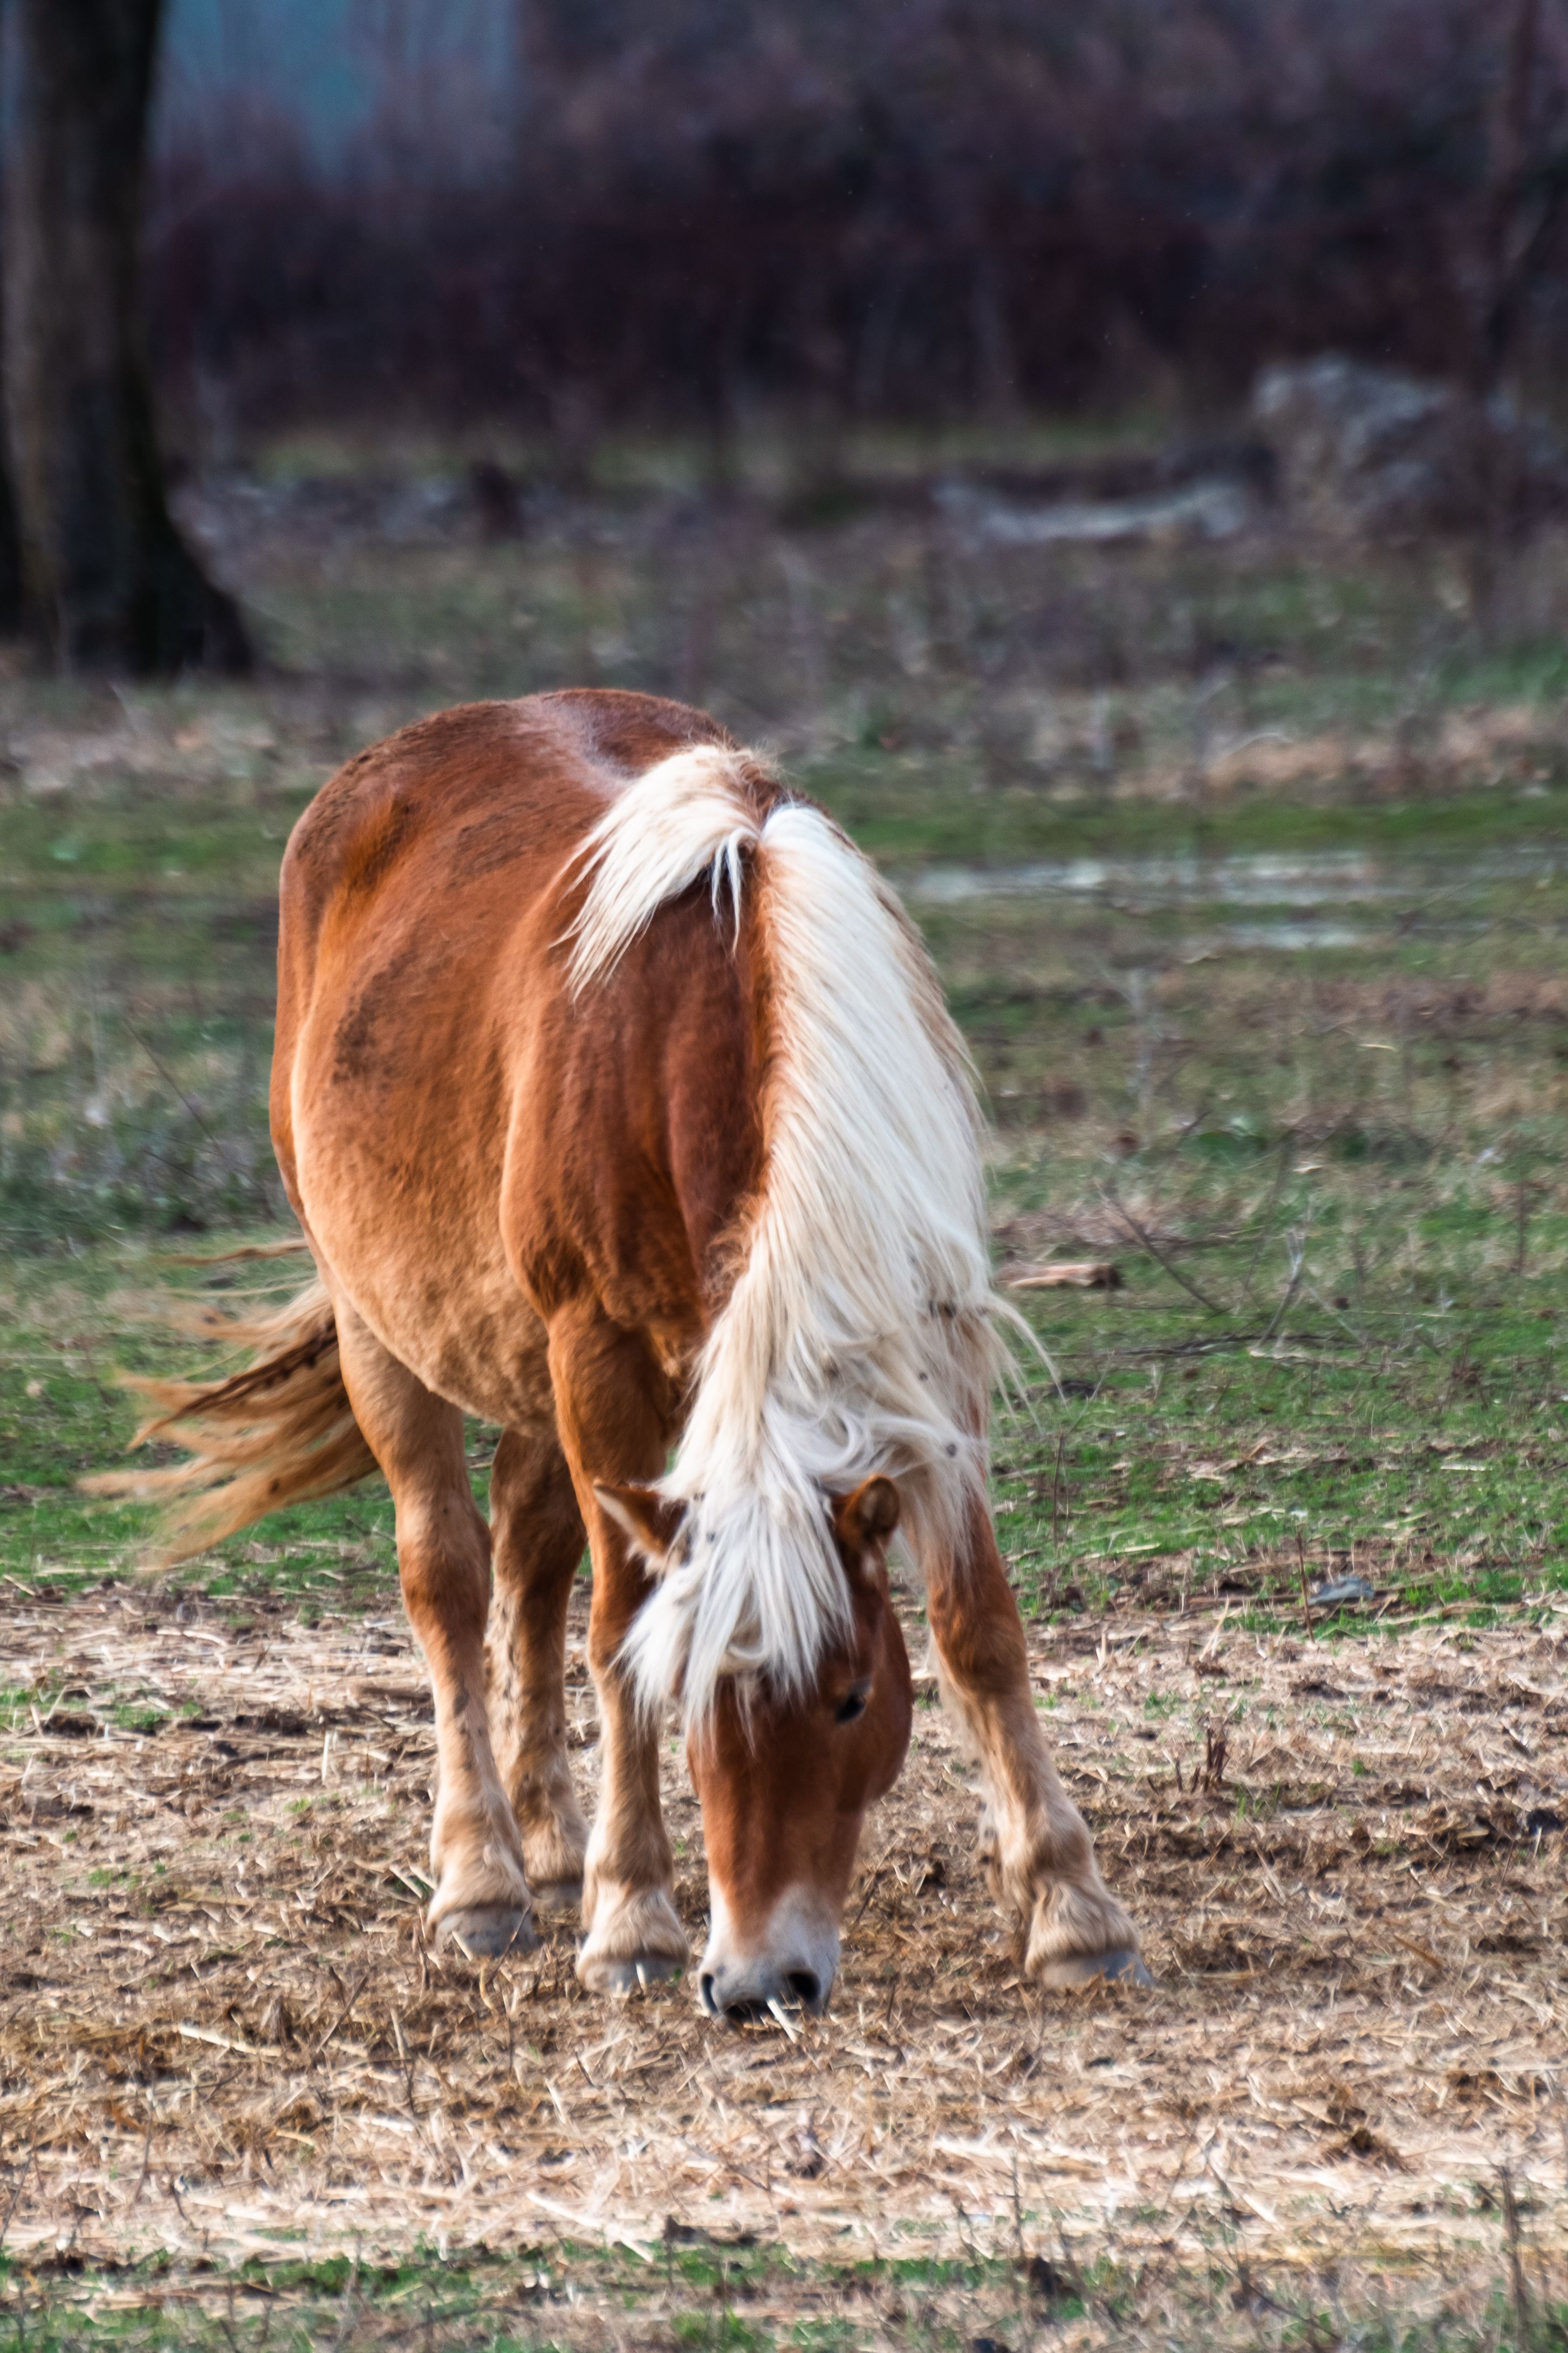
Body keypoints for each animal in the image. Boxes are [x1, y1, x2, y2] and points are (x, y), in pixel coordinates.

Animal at [105, 689, 1146, 2018]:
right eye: (697, 1698)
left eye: (854, 1696)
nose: (758, 1979)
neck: (734, 1010)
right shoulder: (596, 1353)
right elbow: (619, 1631)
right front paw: (633, 1919)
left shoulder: (928, 1344)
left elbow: (979, 1624)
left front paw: (1072, 1910)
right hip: (388, 1331)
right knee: (450, 1576)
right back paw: (486, 1879)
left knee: (530, 1556)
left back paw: (555, 1851)